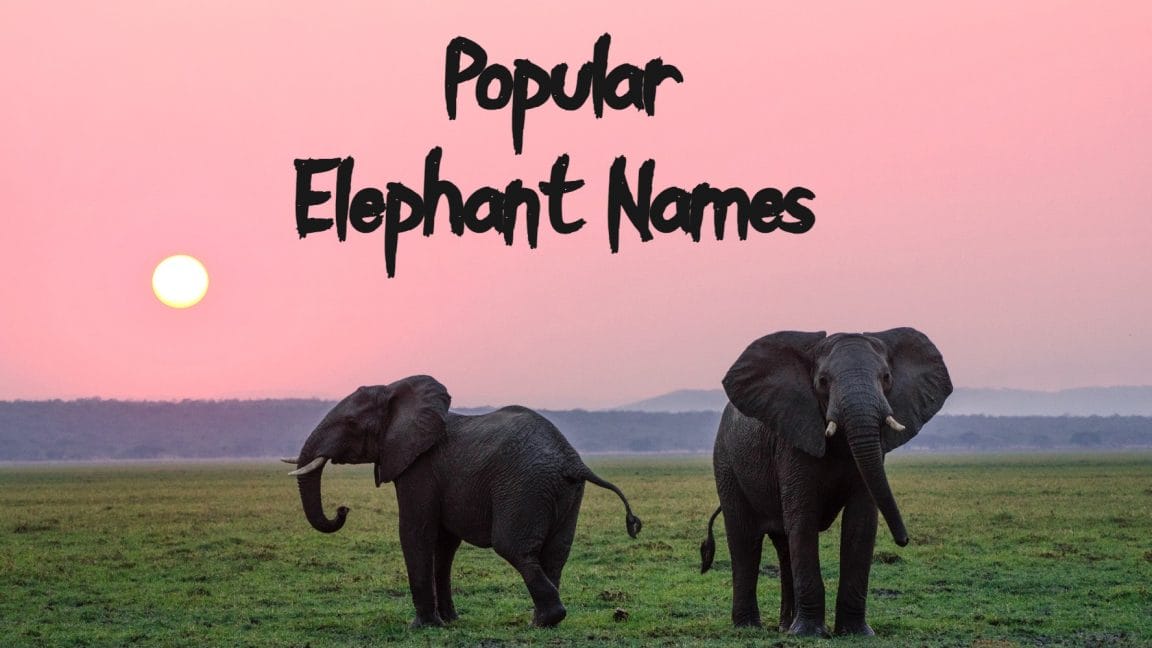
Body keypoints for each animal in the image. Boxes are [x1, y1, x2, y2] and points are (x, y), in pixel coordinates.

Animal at [287, 375, 642, 629]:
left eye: (350, 424)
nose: (342, 509)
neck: (395, 391)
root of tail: (572, 460)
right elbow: (444, 545)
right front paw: (450, 621)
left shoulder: (419, 468)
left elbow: (416, 532)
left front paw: (422, 626)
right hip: (564, 492)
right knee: (555, 554)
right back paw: (543, 622)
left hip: (525, 487)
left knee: (513, 548)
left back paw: (544, 620)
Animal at [699, 328, 951, 637]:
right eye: (822, 381)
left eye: (886, 377)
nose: (904, 540)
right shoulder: (793, 438)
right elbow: (803, 518)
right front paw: (809, 634)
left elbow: (861, 521)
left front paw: (856, 633)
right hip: (726, 463)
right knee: (745, 539)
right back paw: (750, 628)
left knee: (784, 545)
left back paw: (785, 627)